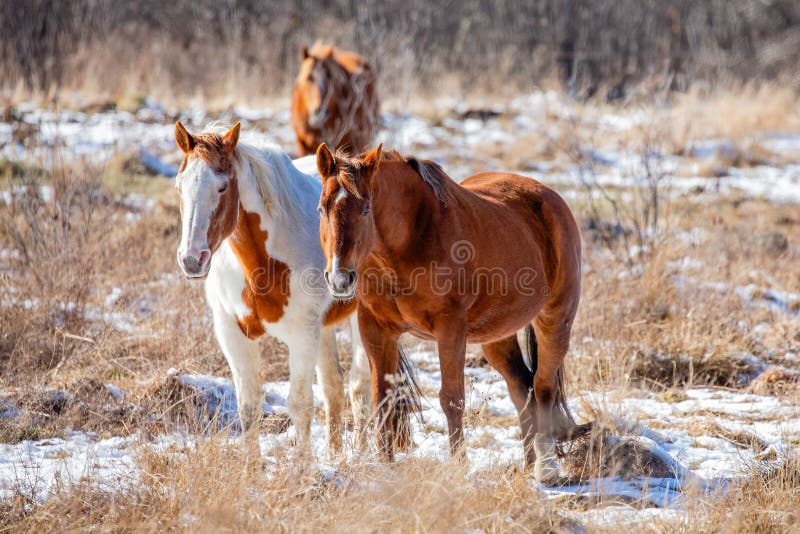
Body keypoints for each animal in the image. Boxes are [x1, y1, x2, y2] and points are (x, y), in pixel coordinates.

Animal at [172, 121, 393, 454]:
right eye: (179, 186)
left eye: (222, 187)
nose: (191, 259)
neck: (260, 264)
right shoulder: (231, 332)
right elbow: (249, 406)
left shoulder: (301, 334)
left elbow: (300, 405)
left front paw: (301, 469)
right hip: (324, 327)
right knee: (333, 387)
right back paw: (335, 457)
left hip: (357, 317)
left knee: (359, 387)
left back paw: (358, 456)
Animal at [315, 143, 591, 482]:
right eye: (322, 209)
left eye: (366, 209)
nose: (339, 278)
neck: (410, 240)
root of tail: (549, 198)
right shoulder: (376, 328)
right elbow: (383, 399)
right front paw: (385, 466)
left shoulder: (450, 329)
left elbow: (452, 399)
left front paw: (458, 467)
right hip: (496, 337)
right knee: (521, 387)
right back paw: (528, 466)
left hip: (555, 319)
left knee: (543, 387)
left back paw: (545, 468)